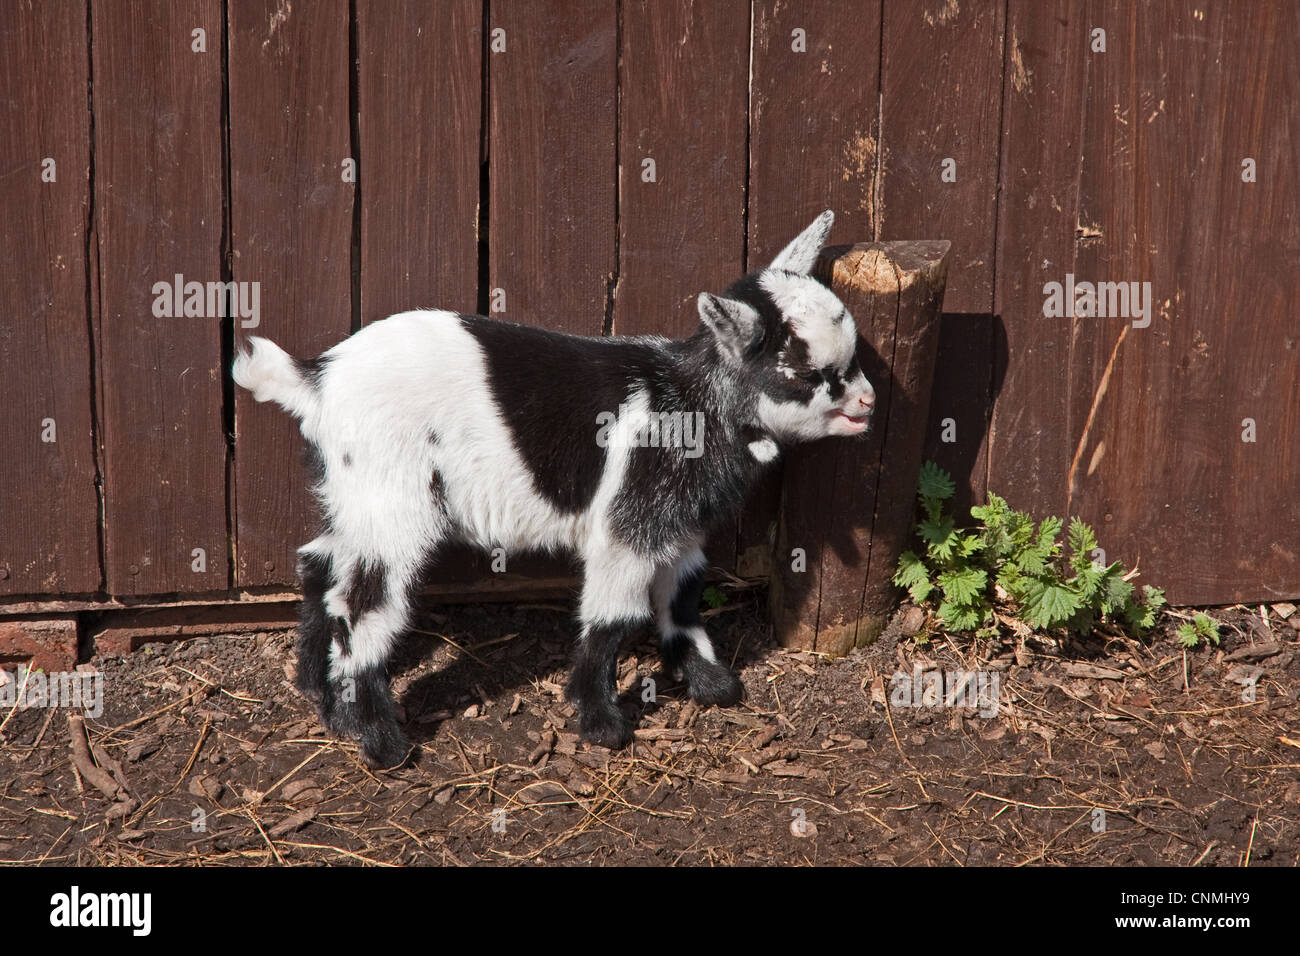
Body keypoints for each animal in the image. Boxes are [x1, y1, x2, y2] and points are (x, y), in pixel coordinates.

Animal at [233, 210, 875, 768]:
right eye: (812, 375)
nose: (868, 401)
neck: (689, 401)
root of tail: (317, 379)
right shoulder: (629, 525)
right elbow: (613, 616)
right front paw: (602, 725)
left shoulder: (676, 524)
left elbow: (684, 592)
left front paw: (709, 681)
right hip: (393, 497)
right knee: (363, 602)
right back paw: (381, 742)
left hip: (353, 491)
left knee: (319, 563)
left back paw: (321, 698)